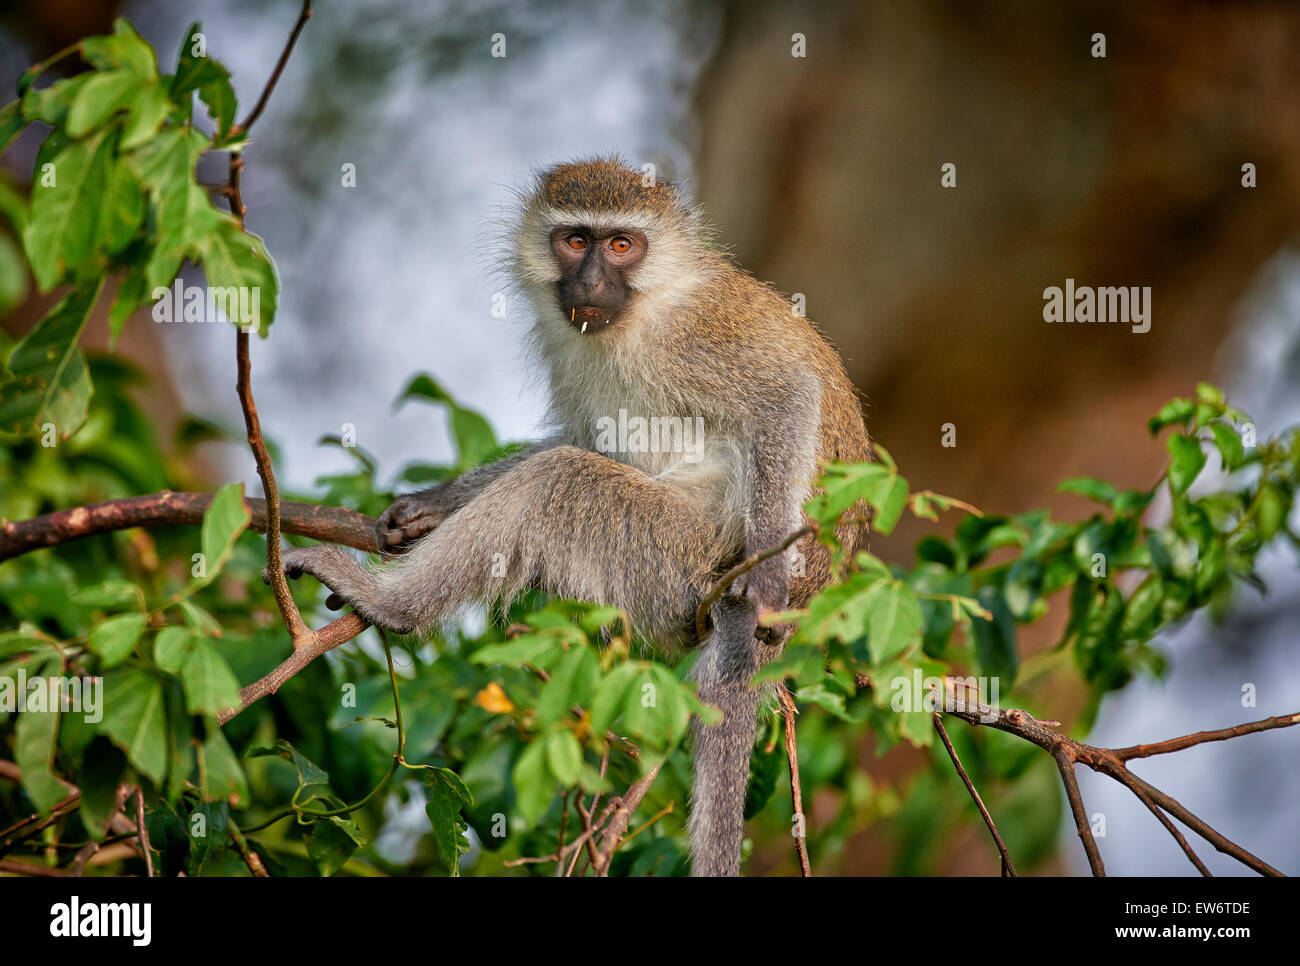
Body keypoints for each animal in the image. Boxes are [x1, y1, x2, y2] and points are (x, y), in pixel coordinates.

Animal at [273, 157, 870, 876]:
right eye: (576, 240)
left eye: (622, 245)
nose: (589, 280)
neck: (641, 310)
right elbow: (587, 437)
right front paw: (434, 503)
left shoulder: (692, 338)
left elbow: (784, 397)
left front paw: (770, 579)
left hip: (680, 549)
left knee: (559, 483)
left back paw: (395, 606)